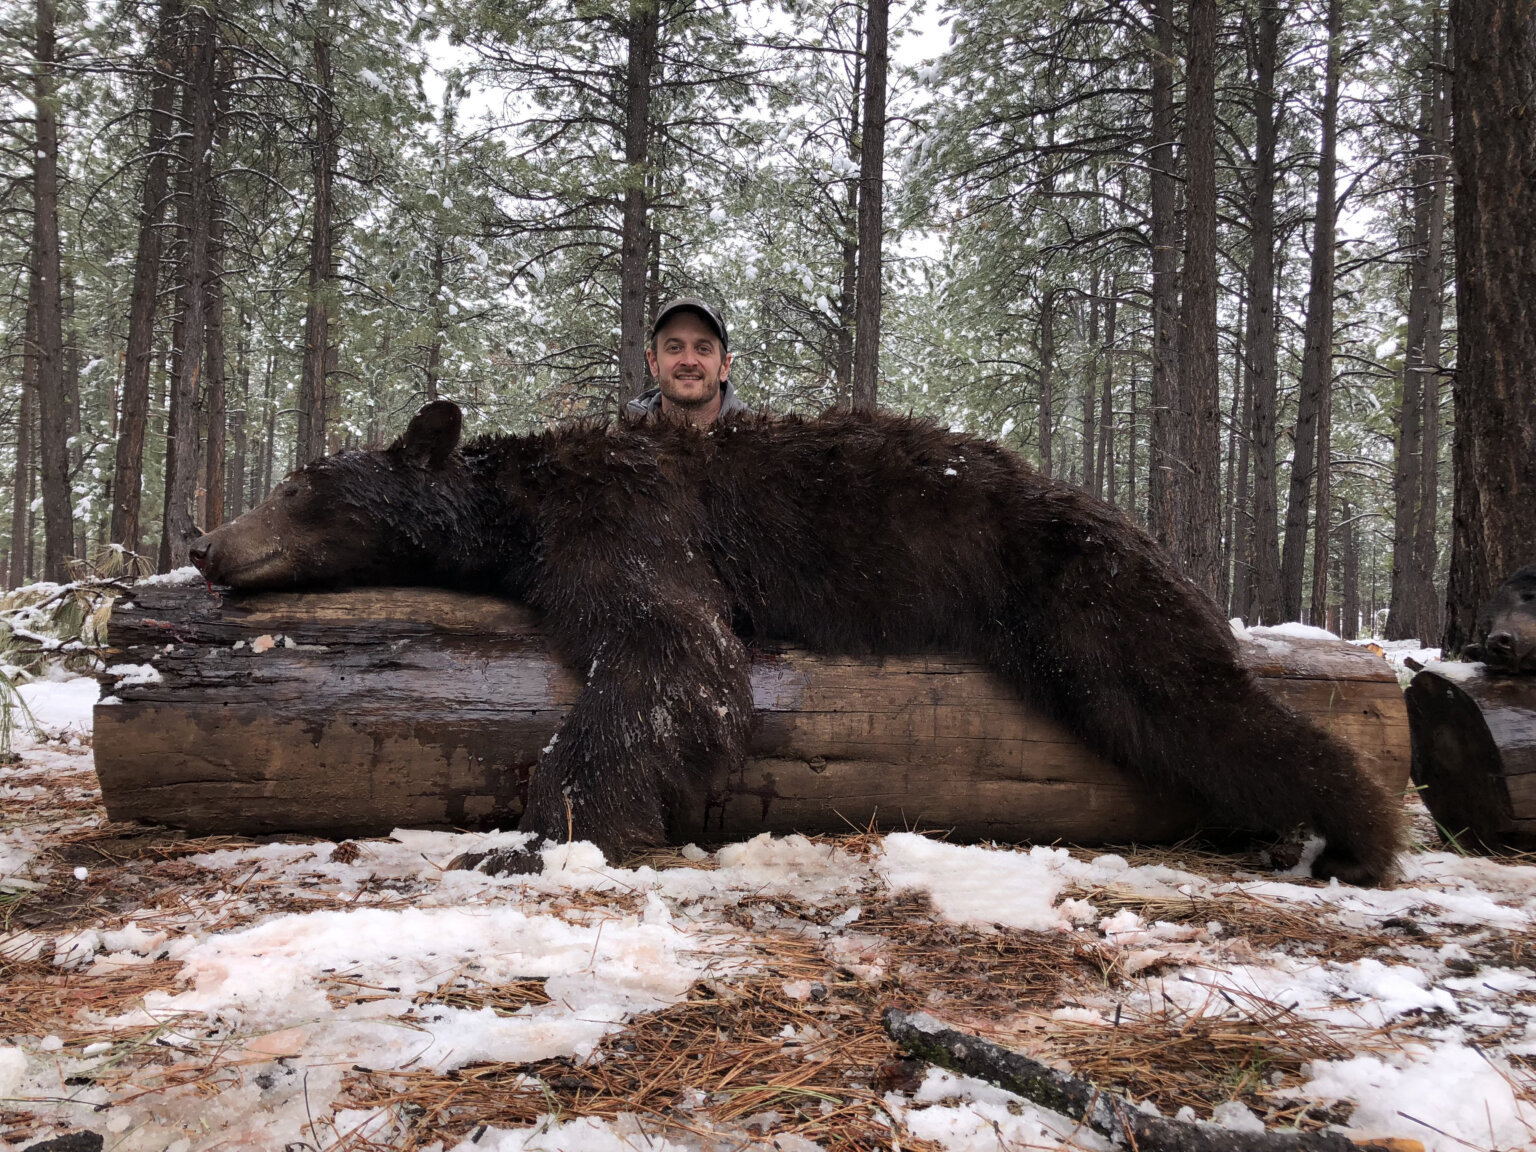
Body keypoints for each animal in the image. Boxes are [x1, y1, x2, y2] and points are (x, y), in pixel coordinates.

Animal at [190, 400, 1405, 884]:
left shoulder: (624, 518)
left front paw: (537, 837)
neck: (518, 504)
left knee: (1187, 699)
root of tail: (1134, 519)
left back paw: (1355, 835)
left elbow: (674, 652)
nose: (205, 544)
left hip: (1078, 588)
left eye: (297, 486)